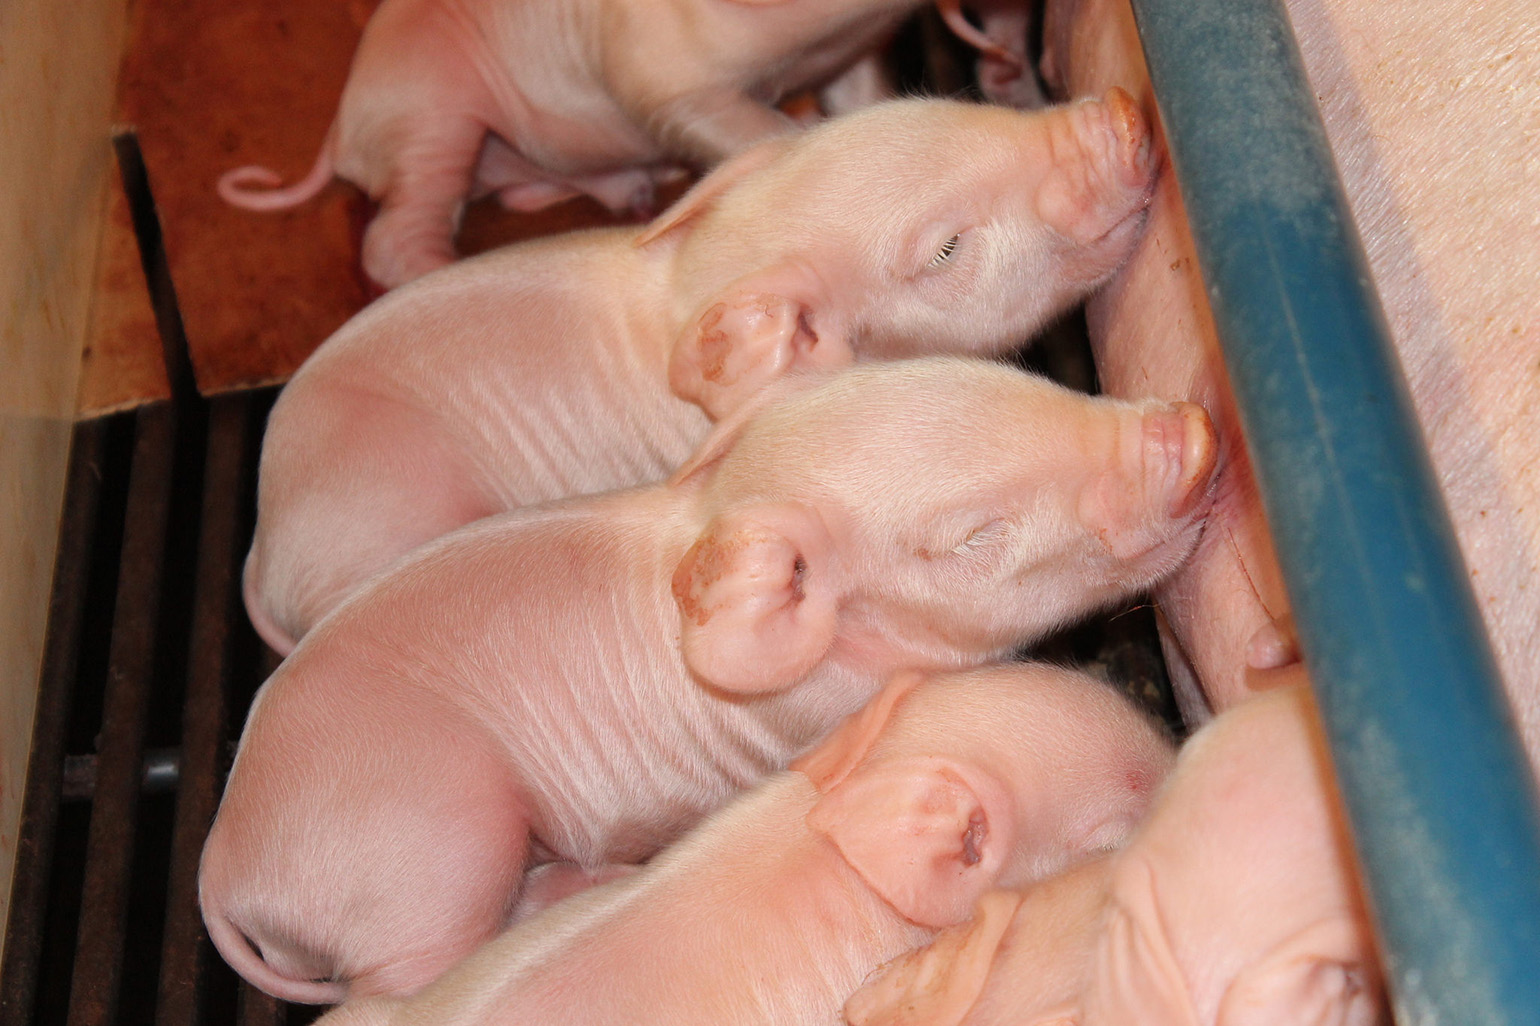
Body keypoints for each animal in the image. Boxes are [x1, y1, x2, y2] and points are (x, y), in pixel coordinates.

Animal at [217, 0, 941, 288]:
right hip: (428, 103)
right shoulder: (666, 82)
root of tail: (341, 127)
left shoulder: (852, 56)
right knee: (393, 236)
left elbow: (867, 98)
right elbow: (773, 137)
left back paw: (635, 192)